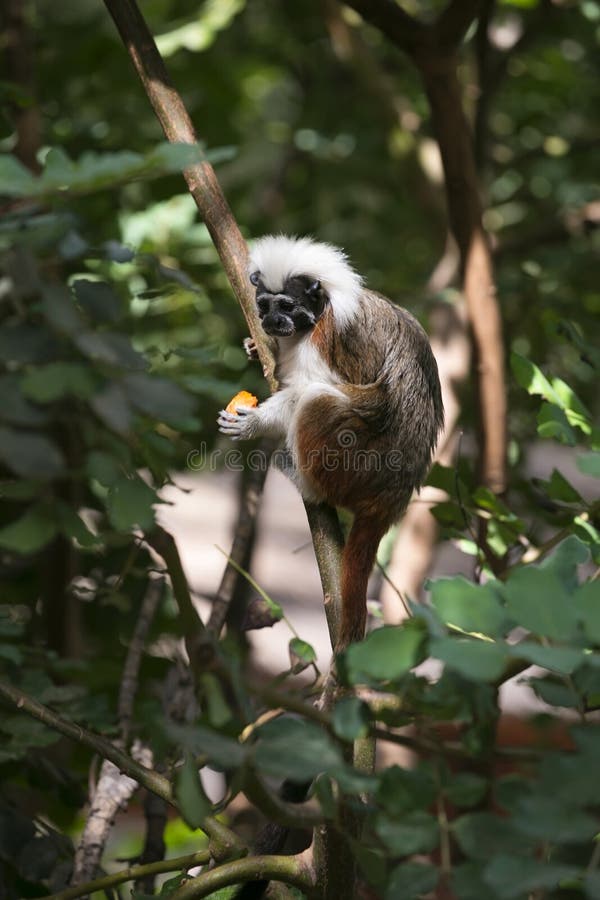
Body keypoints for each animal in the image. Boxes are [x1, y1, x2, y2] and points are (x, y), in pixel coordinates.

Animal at [218, 235, 443, 651]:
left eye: (287, 305)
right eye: (264, 305)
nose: (271, 322)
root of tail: (393, 496)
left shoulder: (334, 334)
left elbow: (319, 388)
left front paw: (257, 422)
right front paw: (255, 346)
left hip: (357, 462)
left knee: (319, 401)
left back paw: (306, 482)